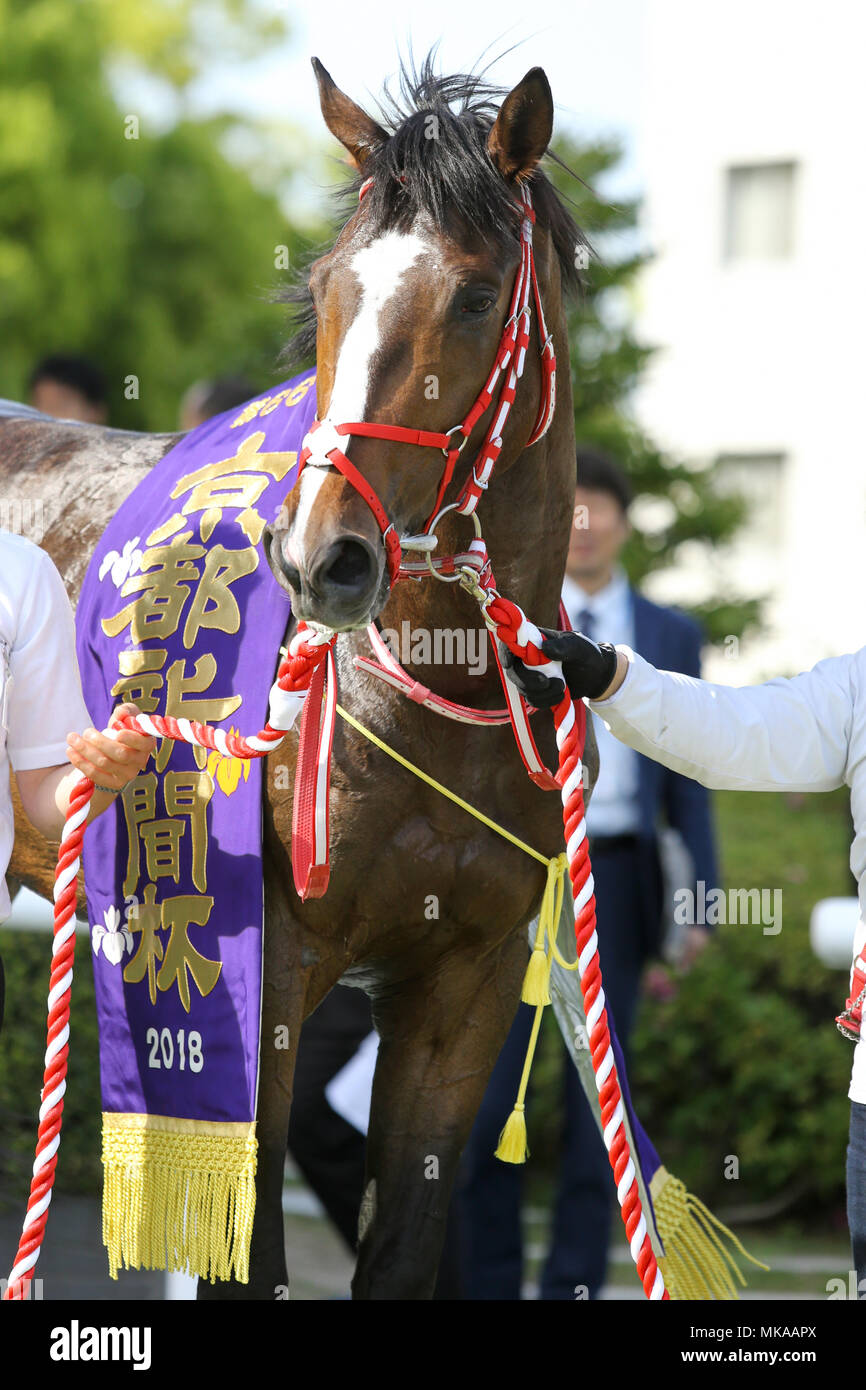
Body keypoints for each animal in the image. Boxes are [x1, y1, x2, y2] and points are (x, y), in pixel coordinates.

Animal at [1, 55, 597, 1300]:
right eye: (325, 290)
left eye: (476, 296)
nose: (323, 556)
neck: (433, 705)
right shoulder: (267, 970)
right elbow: (253, 1238)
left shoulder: (463, 983)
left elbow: (405, 1237)